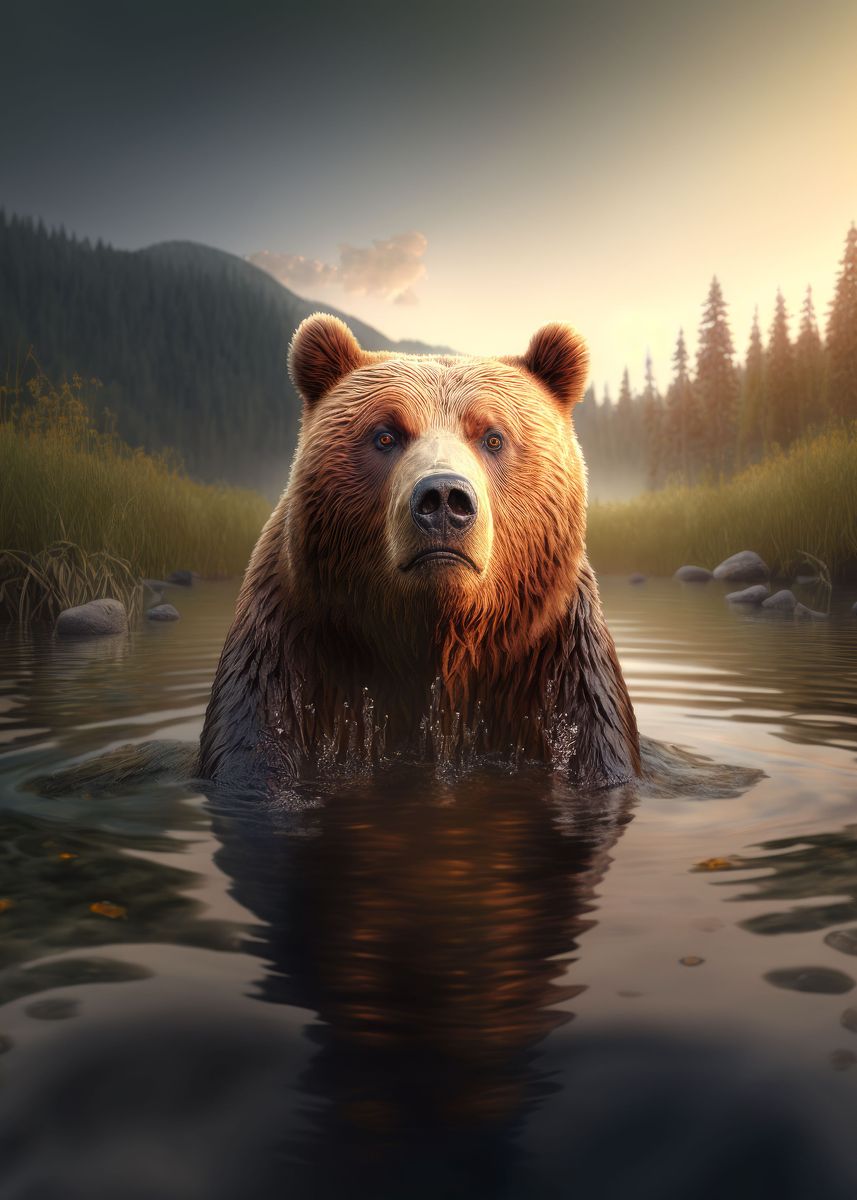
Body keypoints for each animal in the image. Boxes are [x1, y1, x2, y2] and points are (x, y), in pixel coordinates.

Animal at [198, 314, 640, 790]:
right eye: (385, 435)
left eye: (493, 437)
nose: (444, 498)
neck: (439, 642)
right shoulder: (285, 655)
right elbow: (256, 745)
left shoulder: (564, 668)